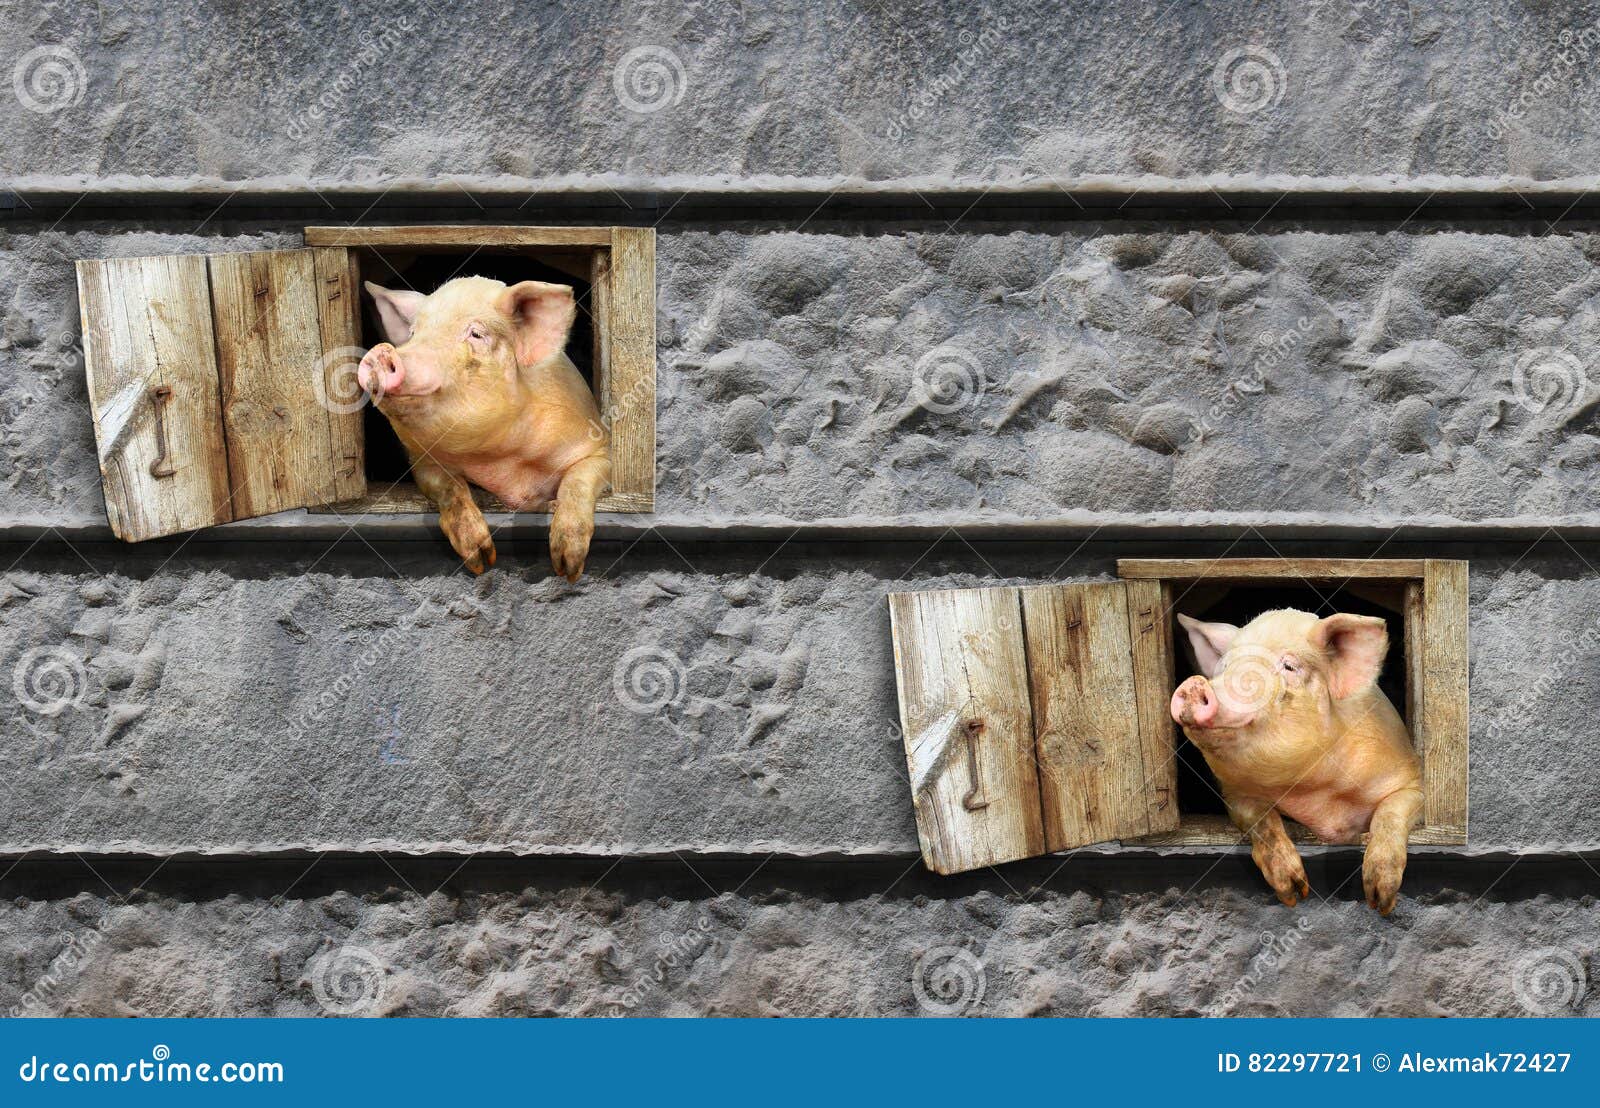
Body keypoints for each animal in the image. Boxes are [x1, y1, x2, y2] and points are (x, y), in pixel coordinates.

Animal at [358, 277, 610, 580]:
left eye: (476, 334)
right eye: (414, 332)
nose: (381, 352)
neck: (501, 461)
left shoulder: (597, 447)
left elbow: (578, 479)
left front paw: (568, 569)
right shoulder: (423, 462)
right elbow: (449, 486)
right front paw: (481, 560)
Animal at [1169, 609, 1422, 915]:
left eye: (1289, 666)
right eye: (1226, 667)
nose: (1195, 684)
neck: (1317, 796)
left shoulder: (1411, 780)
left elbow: (1391, 812)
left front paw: (1380, 902)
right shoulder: (1236, 795)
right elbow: (1262, 819)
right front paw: (1294, 894)